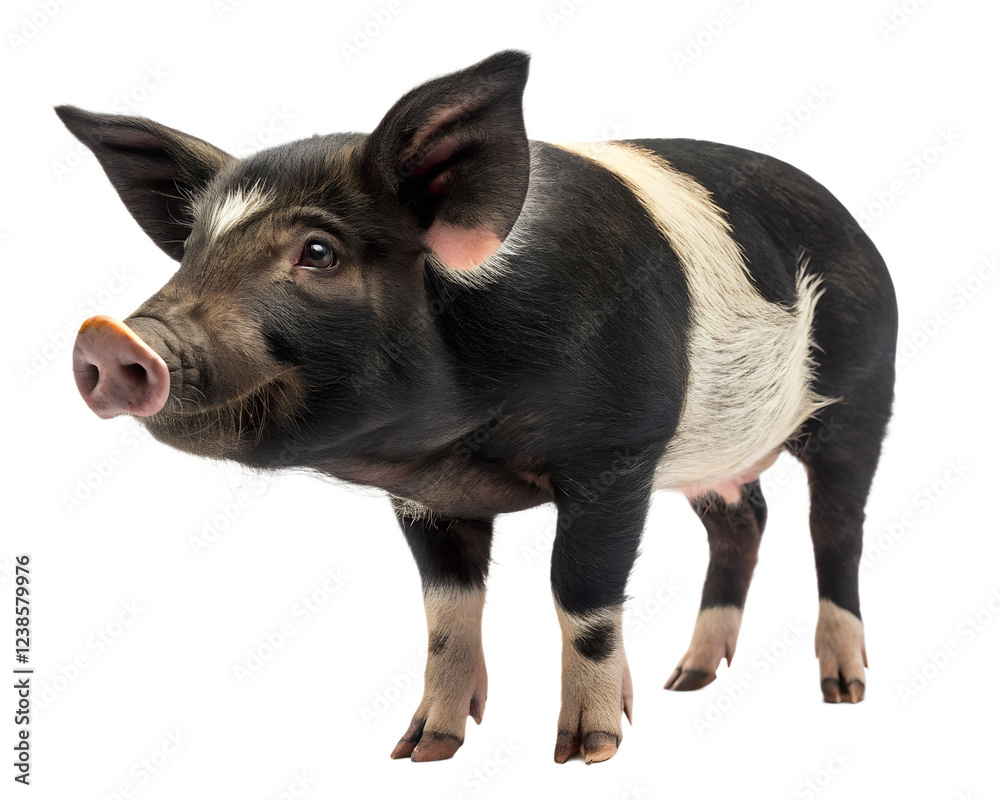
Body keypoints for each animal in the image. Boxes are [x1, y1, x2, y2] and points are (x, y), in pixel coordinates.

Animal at [57, 50, 897, 764]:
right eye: (194, 249)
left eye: (319, 253)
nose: (107, 336)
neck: (455, 443)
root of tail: (855, 223)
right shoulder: (428, 498)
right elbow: (447, 614)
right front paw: (421, 749)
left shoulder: (617, 454)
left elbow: (581, 594)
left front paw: (587, 750)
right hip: (714, 456)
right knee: (744, 518)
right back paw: (687, 679)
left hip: (864, 398)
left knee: (836, 530)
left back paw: (843, 691)